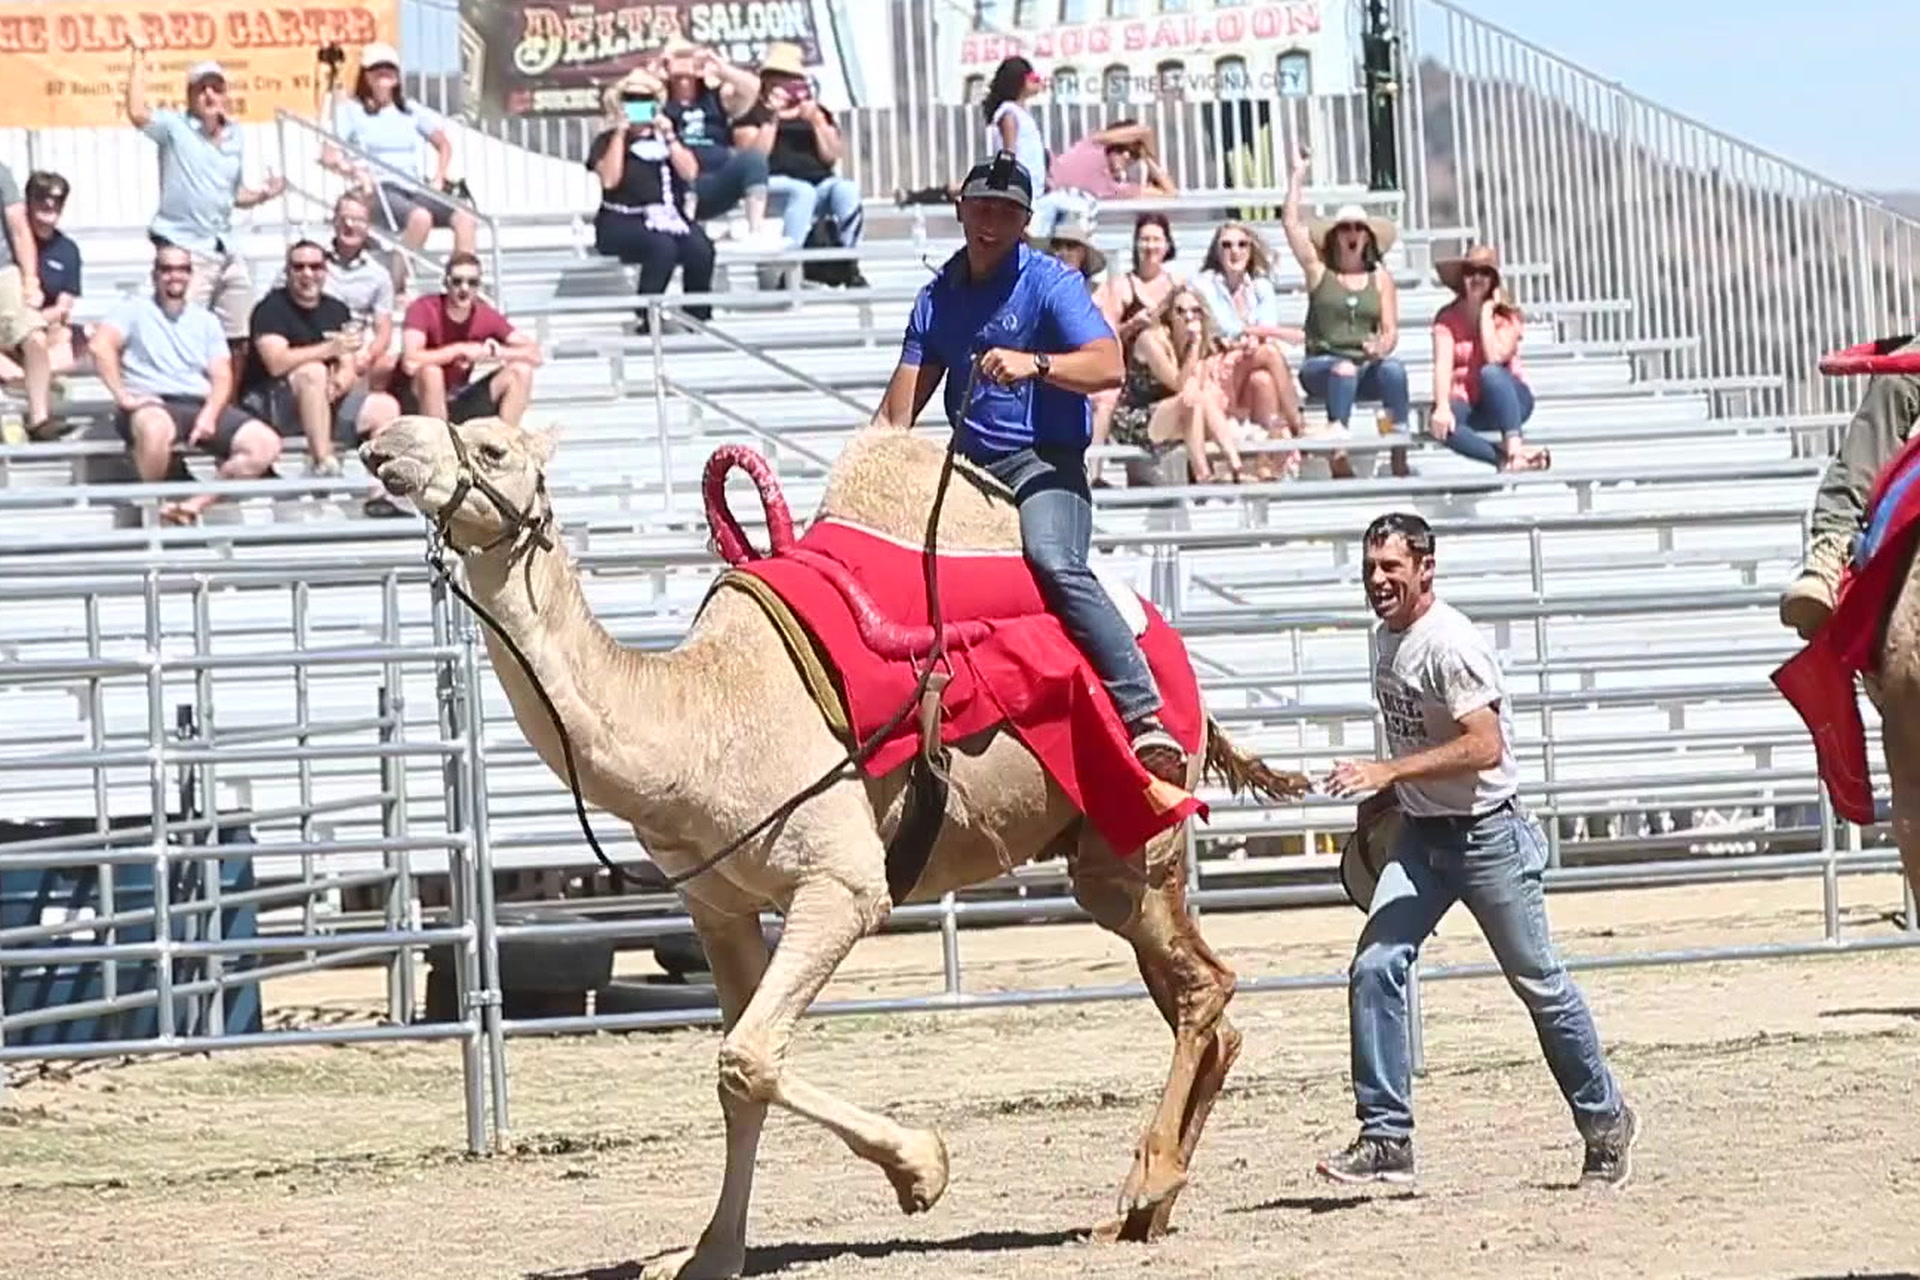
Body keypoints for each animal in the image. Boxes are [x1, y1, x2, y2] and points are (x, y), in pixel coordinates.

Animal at [362, 414, 1312, 1280]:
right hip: (1107, 868)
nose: (382, 445)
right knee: (1203, 998)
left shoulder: (842, 884)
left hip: (1130, 841)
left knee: (1204, 988)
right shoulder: (718, 906)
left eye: (492, 448)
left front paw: (922, 1170)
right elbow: (740, 1071)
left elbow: (748, 1056)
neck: (699, 721)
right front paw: (708, 1253)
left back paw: (1142, 1188)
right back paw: (1150, 1205)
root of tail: (1179, 656)